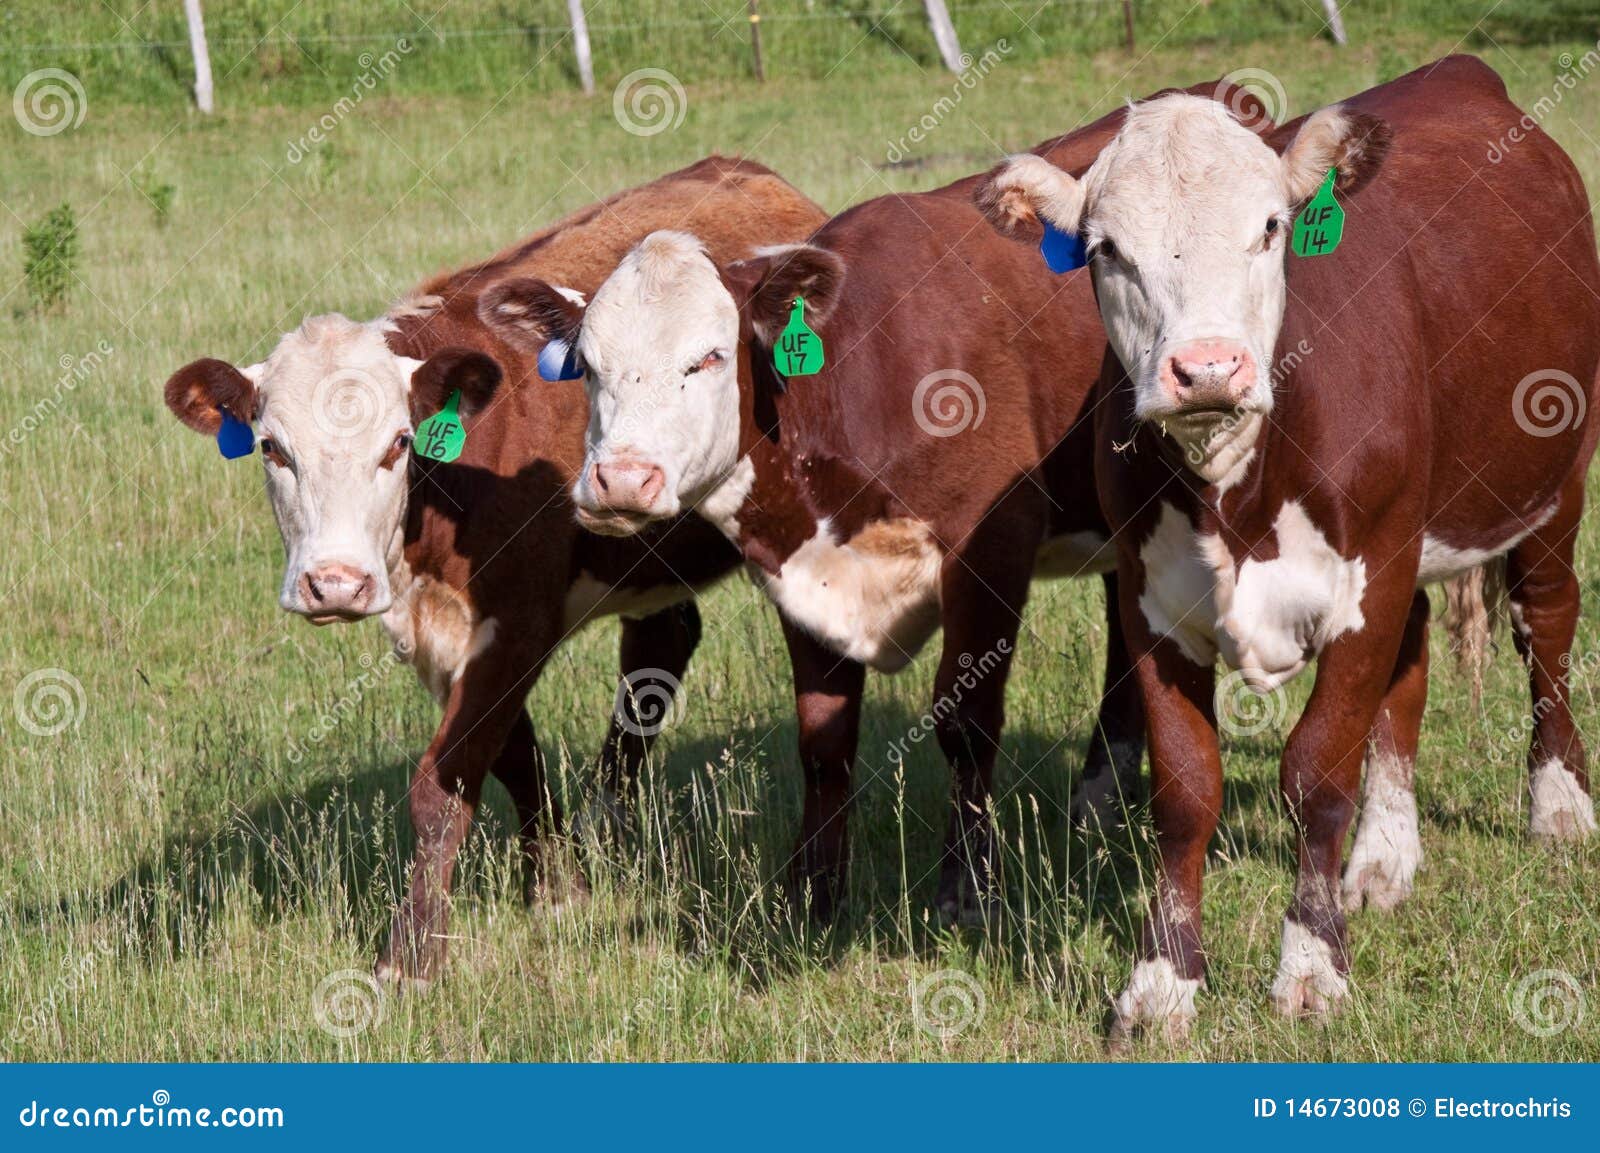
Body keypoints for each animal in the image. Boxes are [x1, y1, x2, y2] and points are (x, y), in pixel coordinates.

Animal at [161, 157, 828, 985]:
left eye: (398, 442)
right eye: (271, 447)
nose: (335, 582)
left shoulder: (516, 619)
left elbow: (444, 785)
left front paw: (411, 952)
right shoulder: (439, 633)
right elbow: (513, 756)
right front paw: (557, 884)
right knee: (659, 647)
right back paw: (607, 826)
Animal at [478, 83, 1267, 925]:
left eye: (709, 357)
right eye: (588, 367)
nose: (622, 481)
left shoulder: (991, 548)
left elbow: (966, 721)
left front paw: (967, 889)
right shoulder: (799, 569)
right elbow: (823, 741)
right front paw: (813, 892)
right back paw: (1099, 794)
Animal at [976, 56, 1600, 1040]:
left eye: (1270, 228)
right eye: (1106, 248)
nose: (1205, 368)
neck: (1236, 490)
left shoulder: (1367, 580)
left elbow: (1315, 772)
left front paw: (1311, 967)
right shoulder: (1152, 602)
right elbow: (1185, 787)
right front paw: (1162, 981)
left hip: (1550, 482)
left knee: (1547, 624)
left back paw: (1559, 806)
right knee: (1411, 666)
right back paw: (1384, 856)